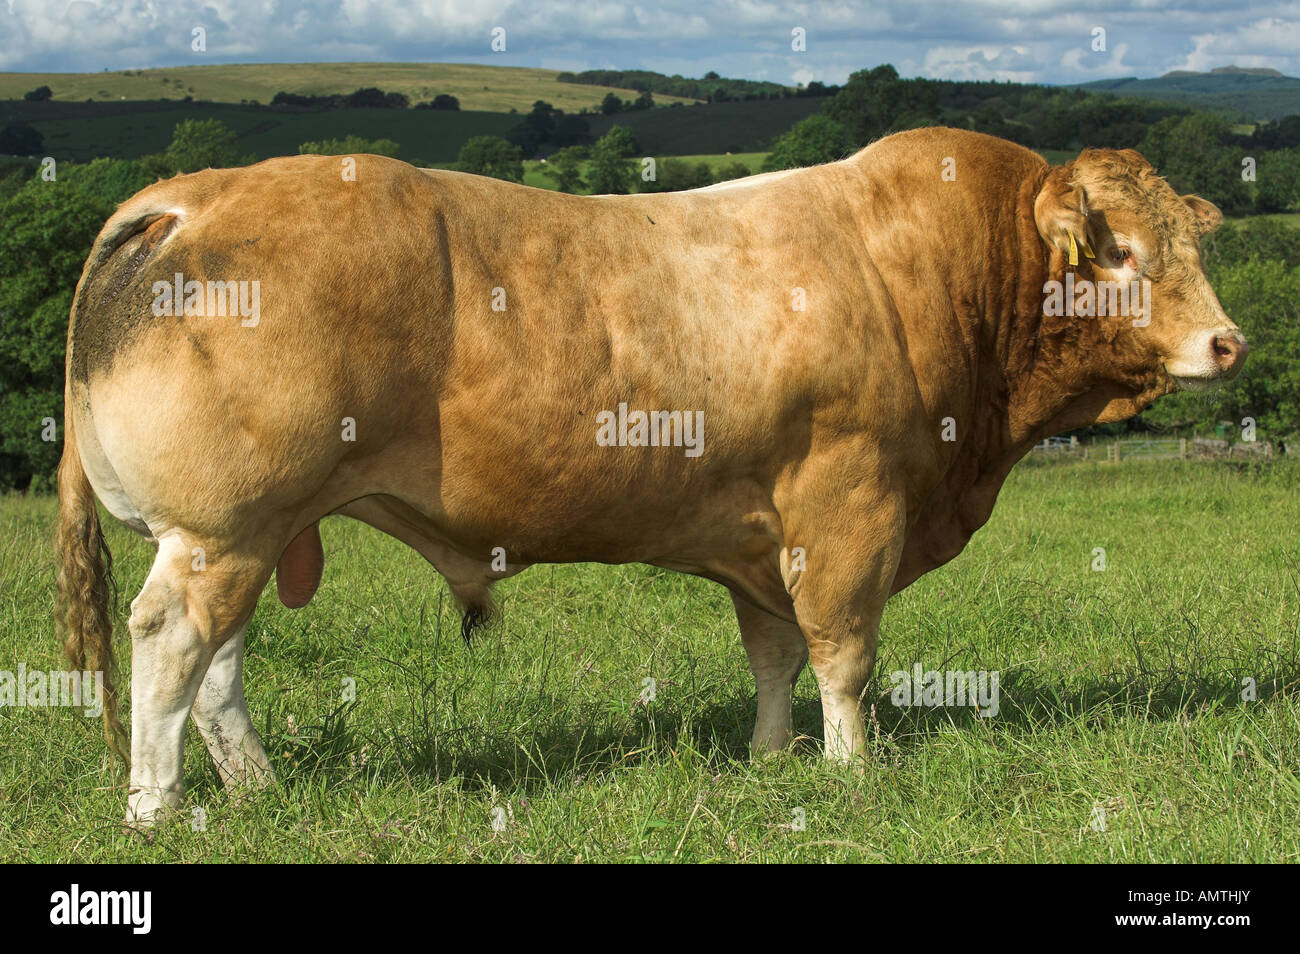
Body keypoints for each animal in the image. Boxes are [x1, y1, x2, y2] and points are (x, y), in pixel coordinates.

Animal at [55, 127, 1247, 827]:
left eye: (1191, 244)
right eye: (1120, 253)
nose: (1228, 344)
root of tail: (186, 196)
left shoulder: (764, 527)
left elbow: (774, 652)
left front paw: (770, 761)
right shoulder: (850, 503)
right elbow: (844, 654)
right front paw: (850, 773)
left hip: (247, 530)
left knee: (217, 666)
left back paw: (257, 791)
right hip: (227, 522)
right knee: (170, 643)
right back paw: (157, 809)